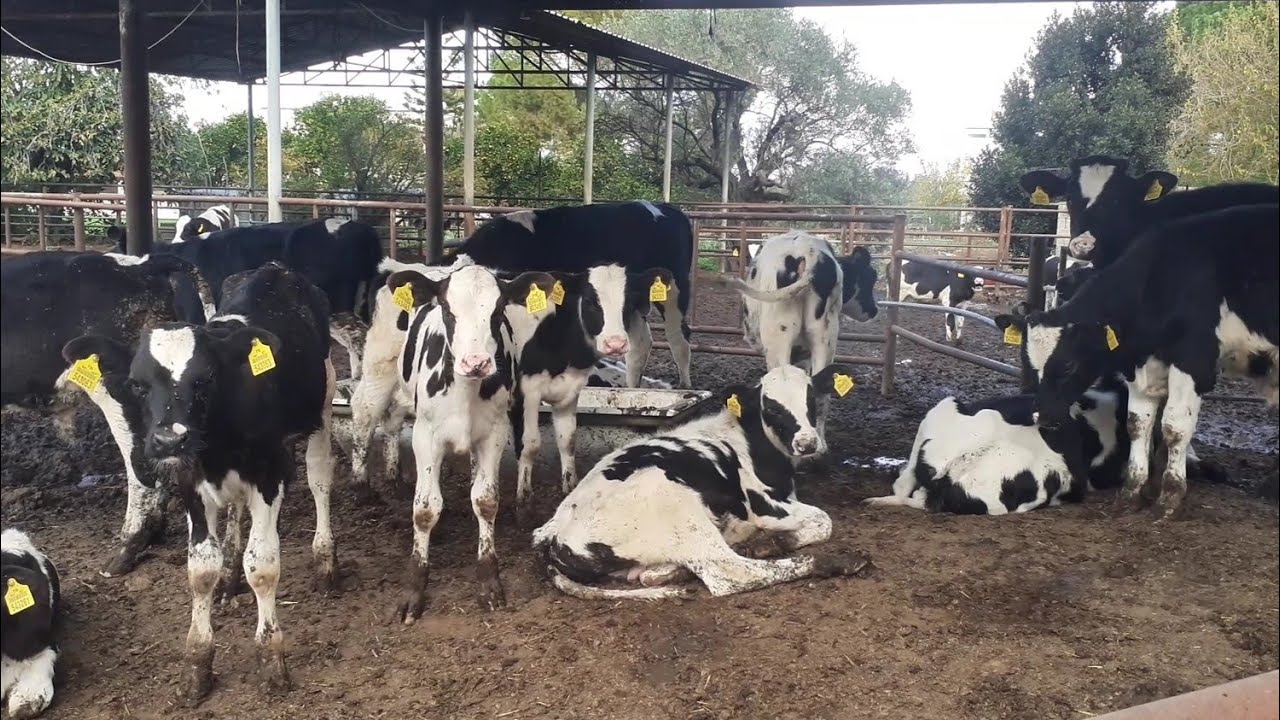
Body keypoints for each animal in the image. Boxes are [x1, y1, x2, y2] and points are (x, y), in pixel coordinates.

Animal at [61, 262, 337, 703]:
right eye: (137, 384)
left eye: (205, 379)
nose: (169, 439)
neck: (218, 441)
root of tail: (274, 268)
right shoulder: (190, 481)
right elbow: (201, 569)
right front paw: (198, 662)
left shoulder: (269, 474)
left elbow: (263, 565)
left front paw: (271, 658)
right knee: (237, 513)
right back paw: (230, 576)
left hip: (323, 405)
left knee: (319, 478)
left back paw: (326, 561)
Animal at [384, 265, 558, 620]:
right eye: (447, 309)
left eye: (498, 309)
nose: (476, 362)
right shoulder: (425, 434)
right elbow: (424, 508)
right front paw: (413, 590)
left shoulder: (494, 433)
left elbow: (486, 500)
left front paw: (489, 580)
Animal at [532, 363, 866, 600]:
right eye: (771, 407)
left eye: (811, 399)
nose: (807, 443)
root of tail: (553, 533)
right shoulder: (765, 506)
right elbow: (824, 521)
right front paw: (773, 542)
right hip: (681, 515)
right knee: (730, 572)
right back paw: (840, 561)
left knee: (652, 575)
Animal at [714, 231, 879, 455]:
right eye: (871, 277)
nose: (873, 310)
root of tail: (807, 252)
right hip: (825, 338)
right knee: (822, 394)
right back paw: (820, 445)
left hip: (779, 339)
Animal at [1022, 204, 1278, 520]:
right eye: (1032, 365)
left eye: (1069, 365)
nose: (1041, 416)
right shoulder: (1143, 364)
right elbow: (1137, 423)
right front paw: (1132, 492)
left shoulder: (1193, 361)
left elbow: (1175, 426)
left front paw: (1170, 497)